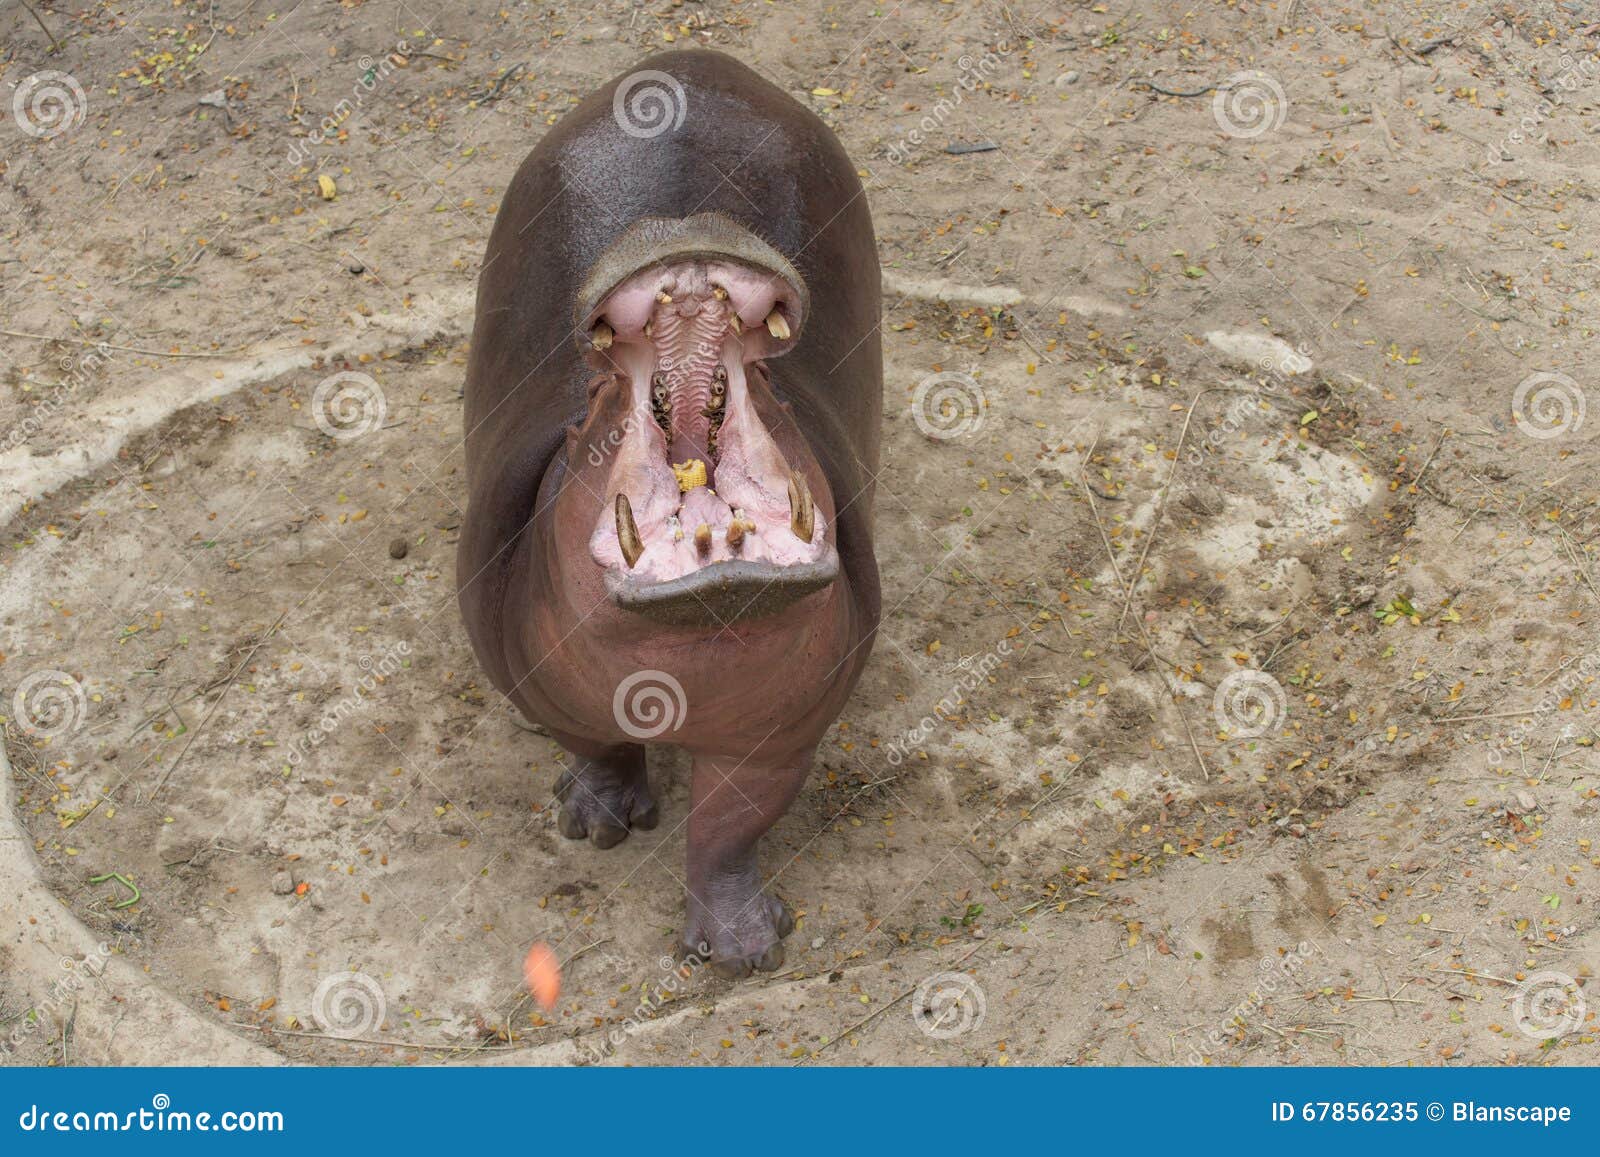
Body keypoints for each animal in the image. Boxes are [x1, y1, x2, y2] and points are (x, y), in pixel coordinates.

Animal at [457, 49, 881, 977]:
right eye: (587, 410)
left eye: (775, 389)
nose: (683, 221)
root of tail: (688, 60)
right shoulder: (538, 685)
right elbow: (595, 743)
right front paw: (595, 823)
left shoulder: (780, 734)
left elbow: (728, 827)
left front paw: (745, 950)